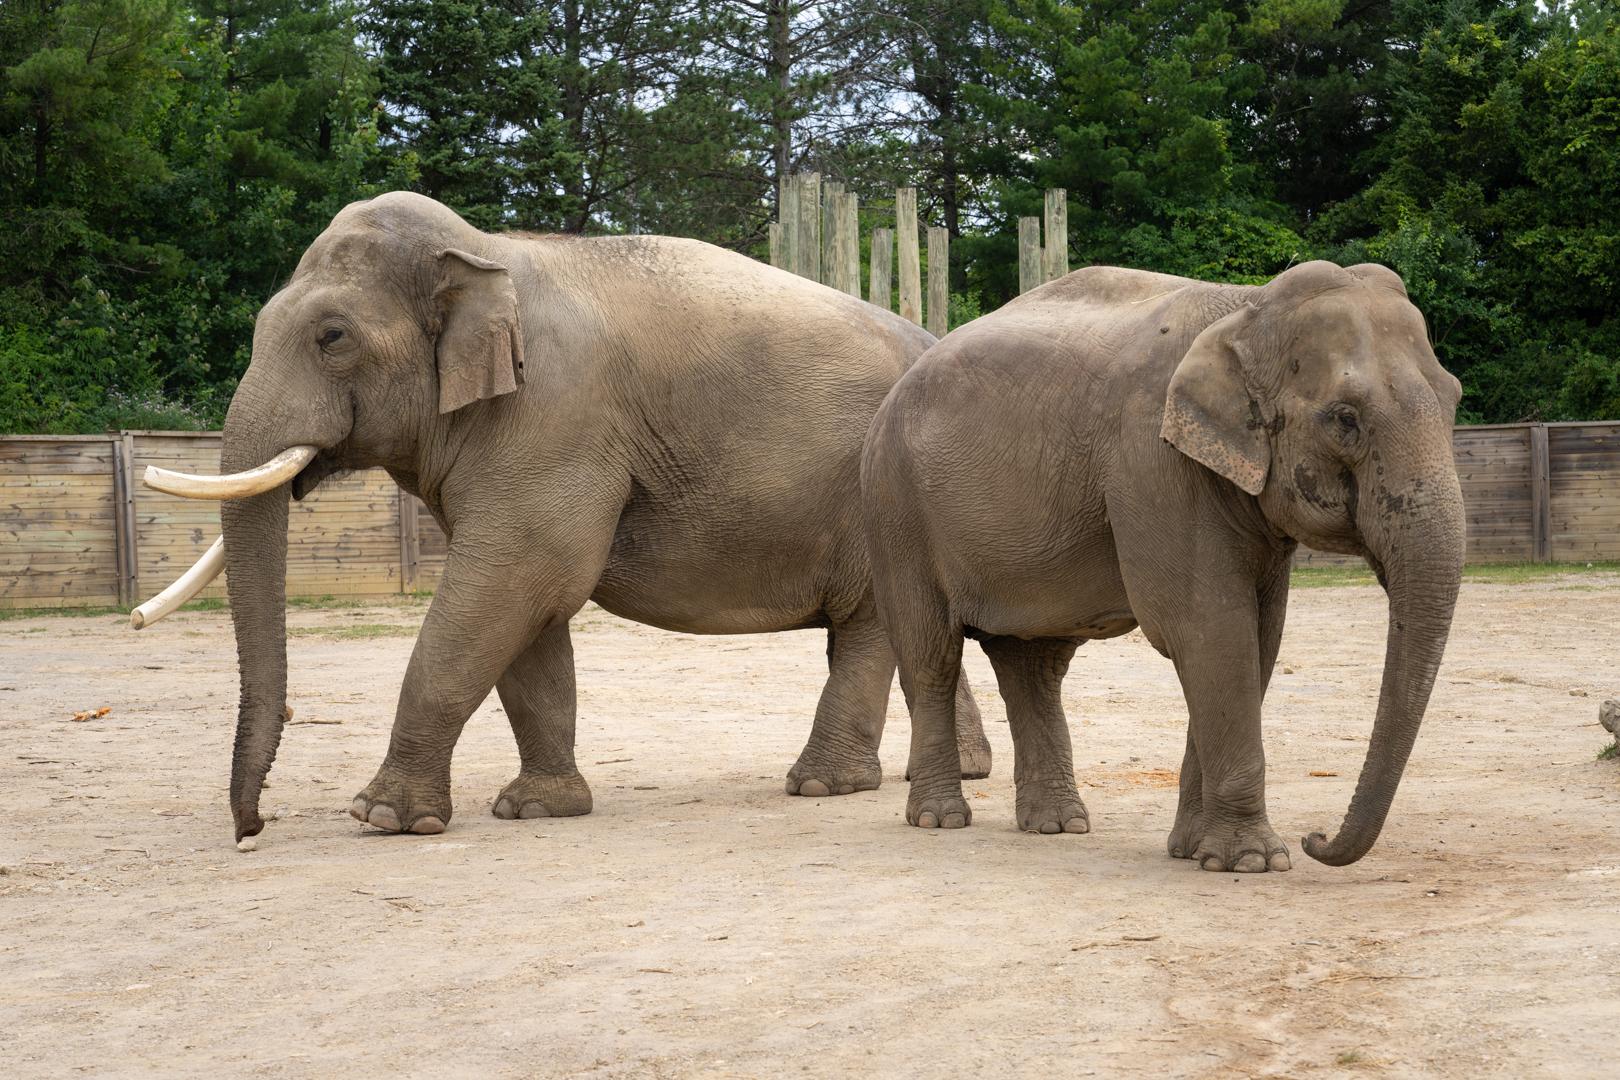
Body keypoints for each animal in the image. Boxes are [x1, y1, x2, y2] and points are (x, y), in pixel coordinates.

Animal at [137, 191, 991, 843]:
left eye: (332, 336)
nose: (250, 831)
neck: (486, 255)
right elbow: (529, 615)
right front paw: (536, 809)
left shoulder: (554, 418)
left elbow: (515, 580)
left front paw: (381, 818)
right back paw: (950, 770)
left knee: (867, 624)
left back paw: (822, 786)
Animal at [861, 260, 1465, 872]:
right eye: (1345, 419)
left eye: (1455, 398)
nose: (1315, 839)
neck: (1249, 308)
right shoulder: (1156, 463)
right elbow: (1208, 630)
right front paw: (1253, 861)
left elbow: (1256, 639)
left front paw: (1195, 851)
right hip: (896, 512)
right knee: (931, 654)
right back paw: (940, 819)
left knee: (1033, 665)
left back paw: (1057, 825)